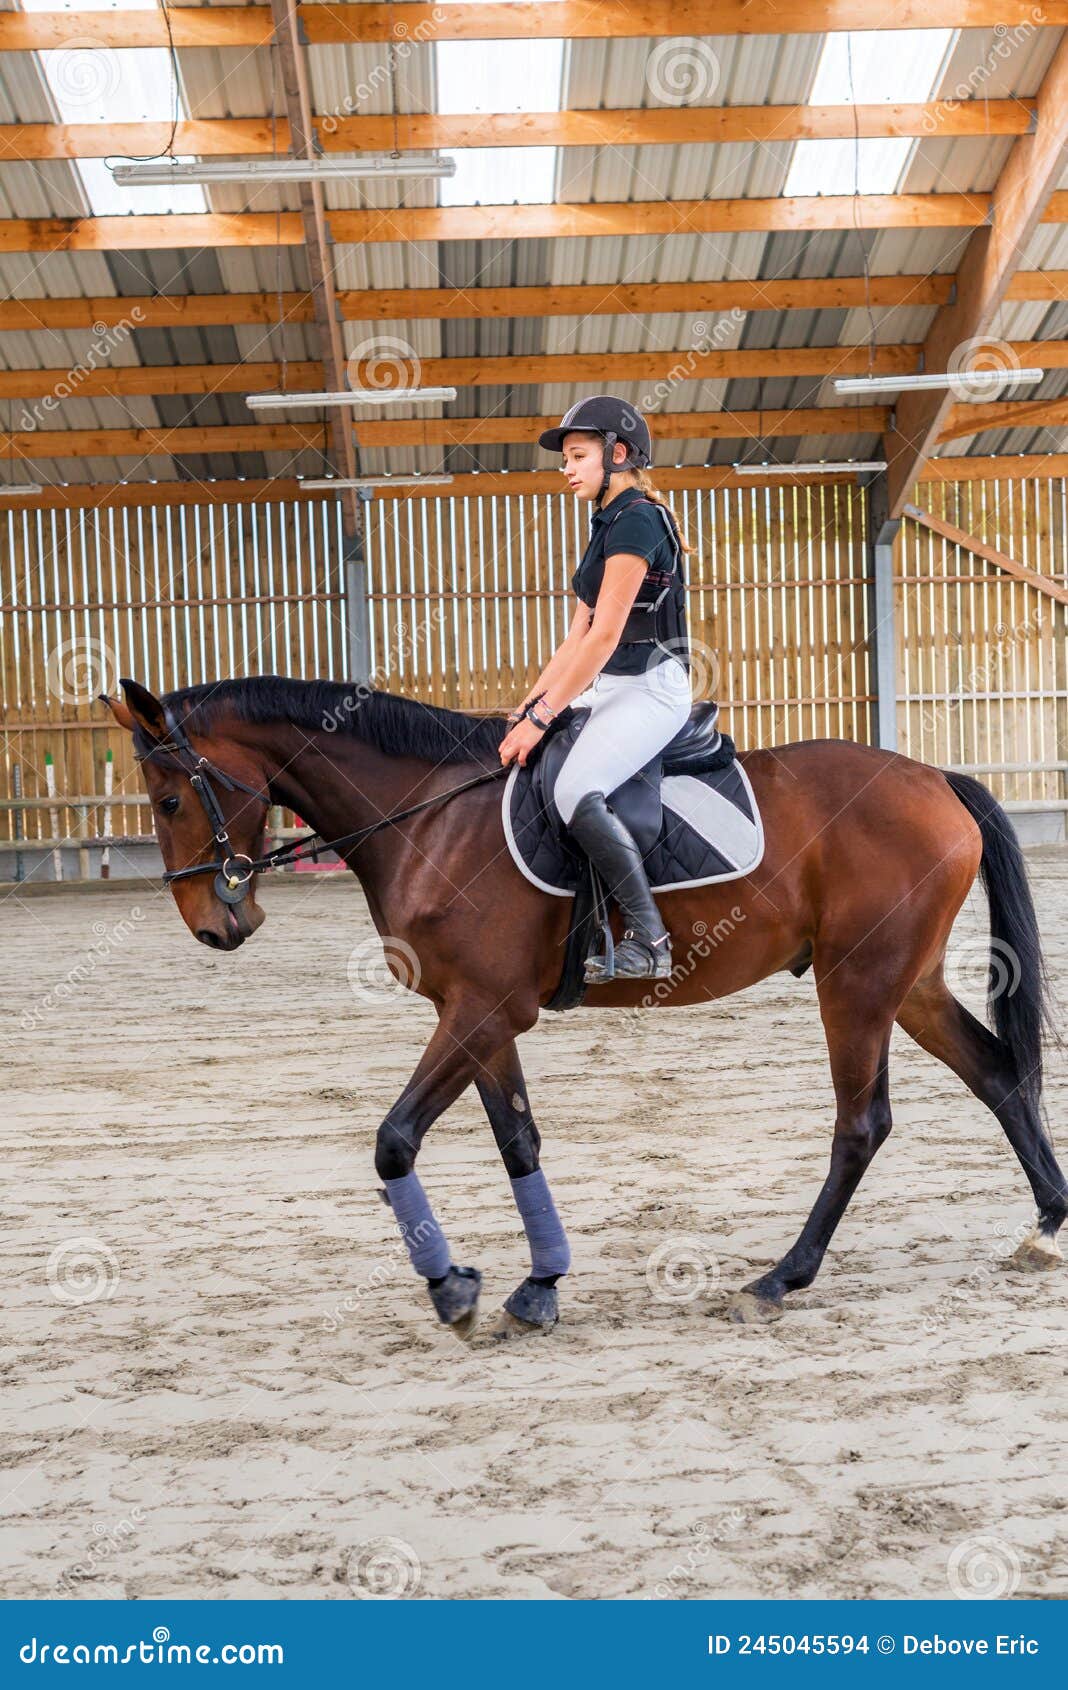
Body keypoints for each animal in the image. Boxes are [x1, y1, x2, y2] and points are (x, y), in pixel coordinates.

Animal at [103, 674, 1067, 1336]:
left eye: (169, 797)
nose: (214, 926)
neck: (427, 816)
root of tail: (934, 779)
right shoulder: (482, 1015)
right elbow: (517, 1139)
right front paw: (538, 1285)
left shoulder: (480, 1011)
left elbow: (394, 1139)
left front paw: (452, 1287)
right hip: (907, 982)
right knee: (995, 1074)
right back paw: (1050, 1224)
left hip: (858, 984)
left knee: (863, 1124)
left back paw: (780, 1278)